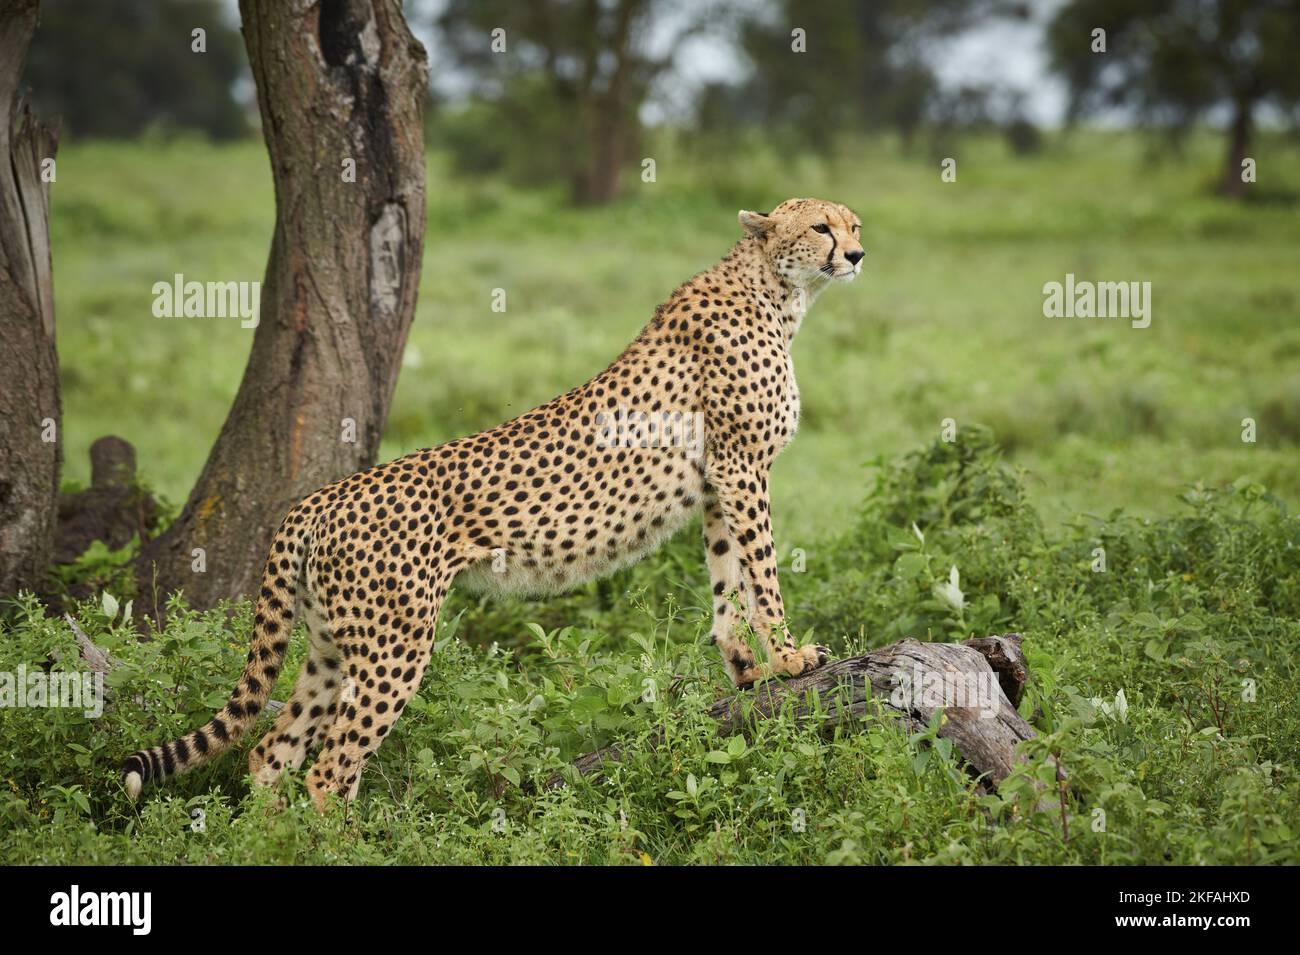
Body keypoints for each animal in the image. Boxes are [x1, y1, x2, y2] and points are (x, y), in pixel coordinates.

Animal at [120, 197, 866, 811]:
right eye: (820, 227)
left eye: (853, 224)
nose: (858, 255)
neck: (776, 289)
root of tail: (317, 499)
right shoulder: (742, 468)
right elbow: (763, 573)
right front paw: (791, 657)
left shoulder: (718, 482)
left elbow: (727, 585)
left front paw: (749, 669)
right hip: (395, 644)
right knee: (329, 769)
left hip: (332, 646)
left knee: (270, 753)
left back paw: (275, 840)